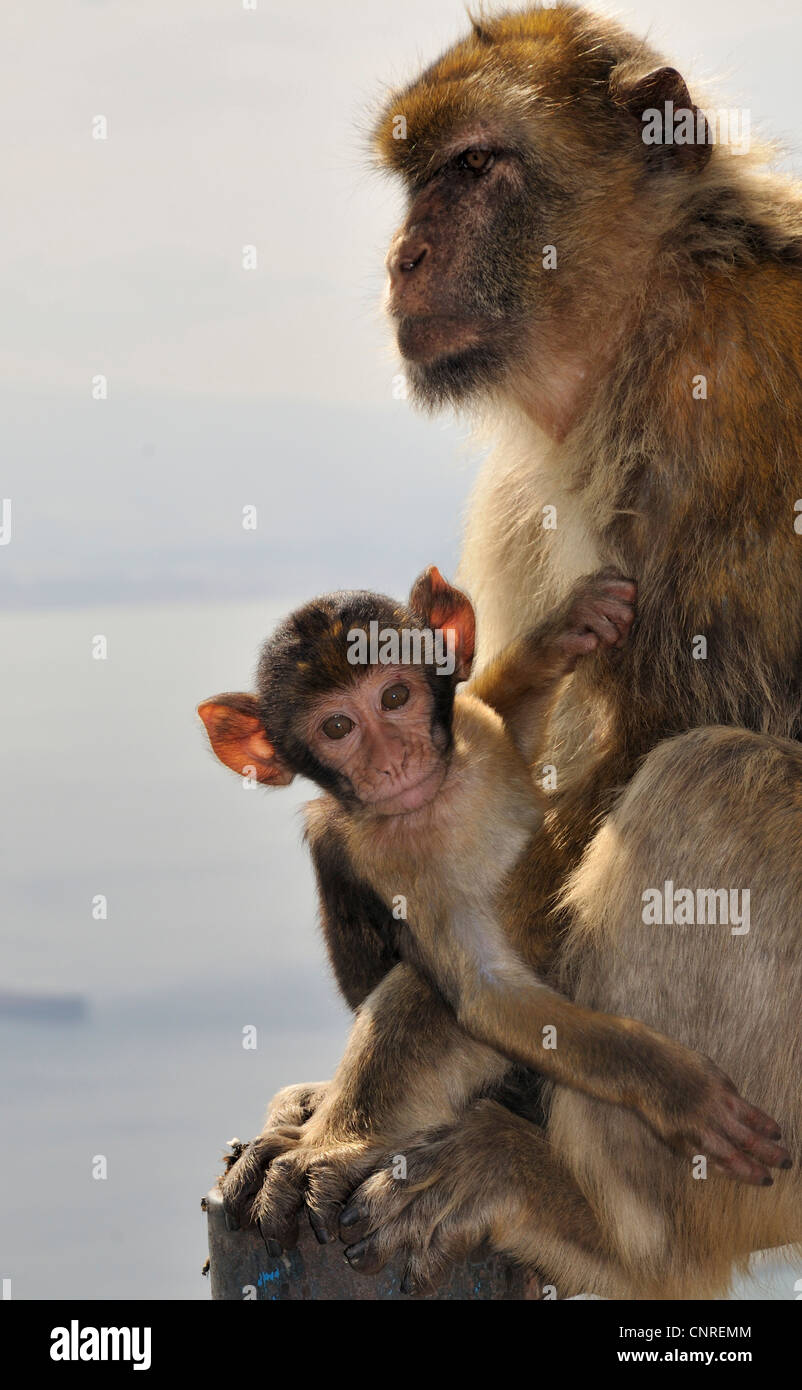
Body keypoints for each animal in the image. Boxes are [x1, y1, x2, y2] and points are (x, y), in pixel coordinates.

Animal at [198, 565, 790, 1265]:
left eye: (394, 696)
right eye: (337, 729)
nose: (392, 761)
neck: (439, 798)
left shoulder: (476, 732)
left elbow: (507, 718)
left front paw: (565, 630)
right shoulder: (396, 861)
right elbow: (490, 994)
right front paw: (674, 1088)